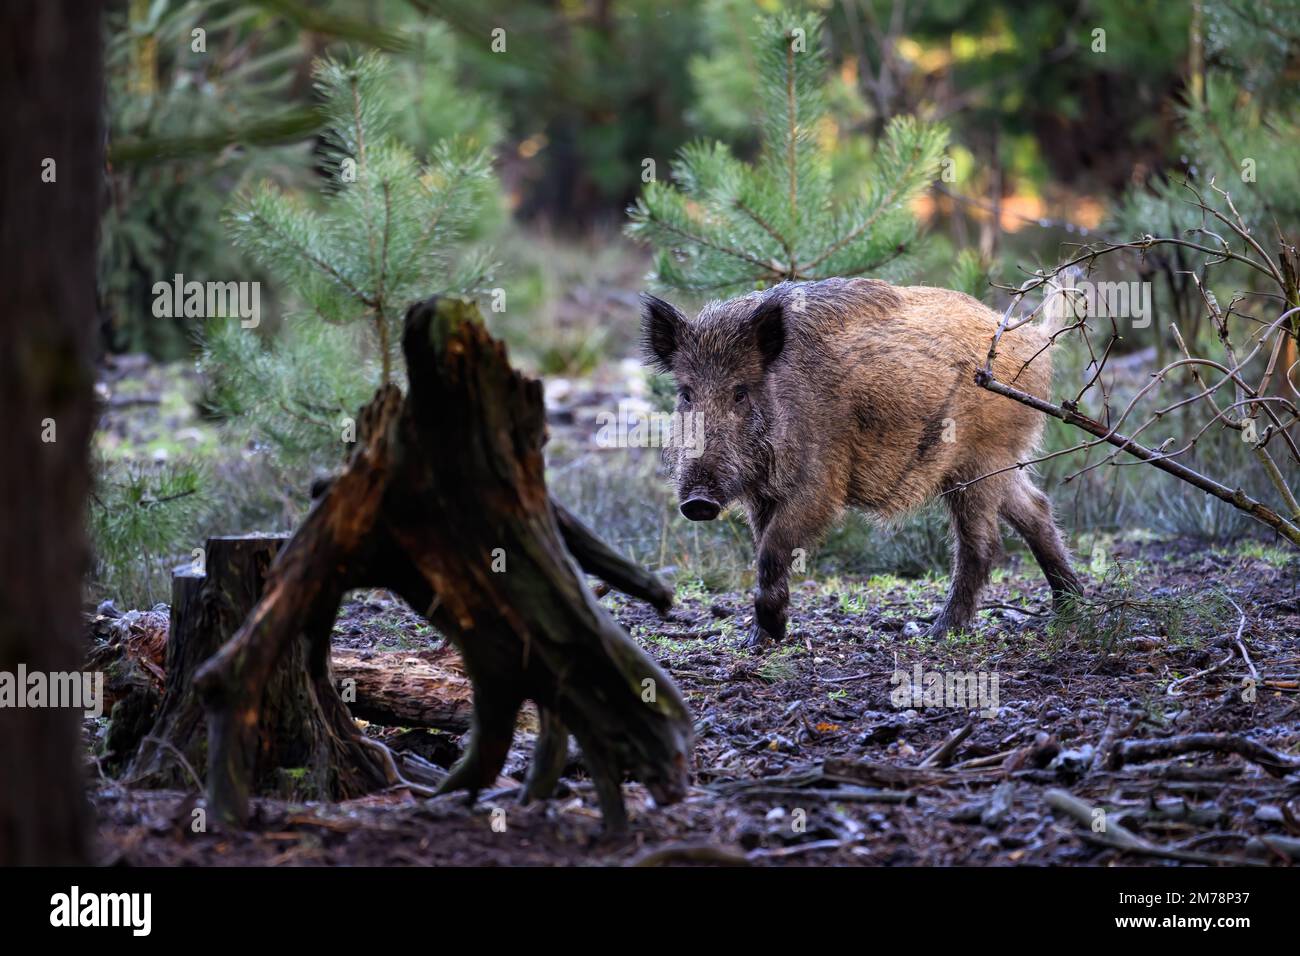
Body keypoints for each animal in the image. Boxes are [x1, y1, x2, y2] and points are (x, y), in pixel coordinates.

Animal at [641, 277, 1081, 647]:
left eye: (739, 392)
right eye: (685, 393)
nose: (697, 501)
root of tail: (1035, 337)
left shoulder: (821, 486)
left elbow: (771, 551)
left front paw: (765, 636)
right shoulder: (762, 495)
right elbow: (765, 551)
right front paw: (758, 640)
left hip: (979, 463)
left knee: (982, 543)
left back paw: (938, 633)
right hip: (1000, 463)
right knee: (1036, 509)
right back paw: (1070, 606)